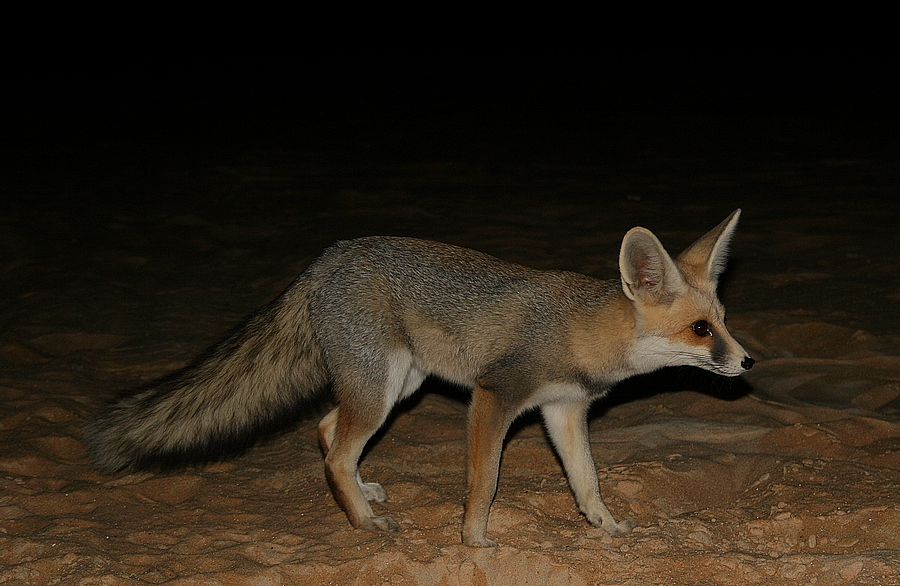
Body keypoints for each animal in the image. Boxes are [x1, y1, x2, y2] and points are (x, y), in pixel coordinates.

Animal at [88, 209, 756, 544]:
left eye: (723, 321)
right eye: (702, 330)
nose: (748, 362)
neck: (581, 333)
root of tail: (329, 255)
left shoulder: (563, 409)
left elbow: (587, 481)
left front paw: (606, 525)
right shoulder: (494, 396)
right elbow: (484, 482)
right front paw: (473, 539)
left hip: (395, 384)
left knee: (326, 429)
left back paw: (362, 496)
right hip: (383, 386)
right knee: (335, 452)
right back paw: (364, 522)